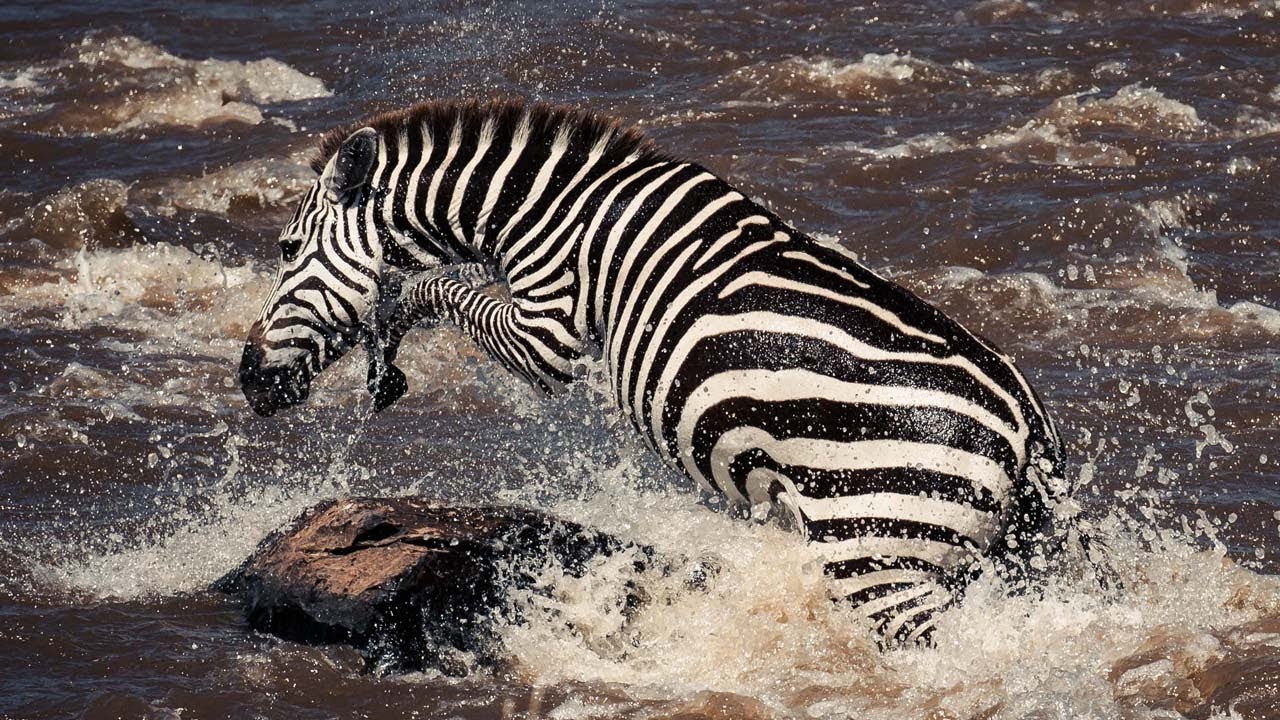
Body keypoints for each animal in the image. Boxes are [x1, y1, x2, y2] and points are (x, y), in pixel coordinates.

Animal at [240, 99, 1075, 645]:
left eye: (286, 249)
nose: (249, 380)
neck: (545, 207)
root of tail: (1028, 430)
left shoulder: (547, 329)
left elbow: (435, 288)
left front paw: (386, 346)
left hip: (877, 555)